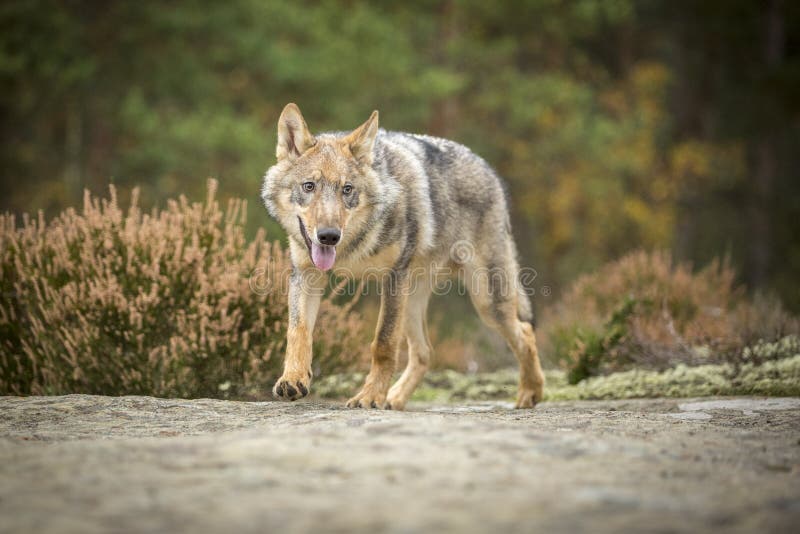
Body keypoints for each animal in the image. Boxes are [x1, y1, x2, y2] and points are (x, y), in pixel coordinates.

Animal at [261, 103, 545, 409]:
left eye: (347, 190)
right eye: (309, 186)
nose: (328, 236)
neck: (351, 247)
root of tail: (489, 170)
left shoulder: (393, 277)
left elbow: (383, 344)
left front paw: (370, 396)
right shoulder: (306, 275)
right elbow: (298, 331)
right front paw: (293, 379)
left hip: (485, 303)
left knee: (525, 332)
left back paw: (530, 393)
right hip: (413, 302)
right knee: (425, 353)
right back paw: (394, 399)